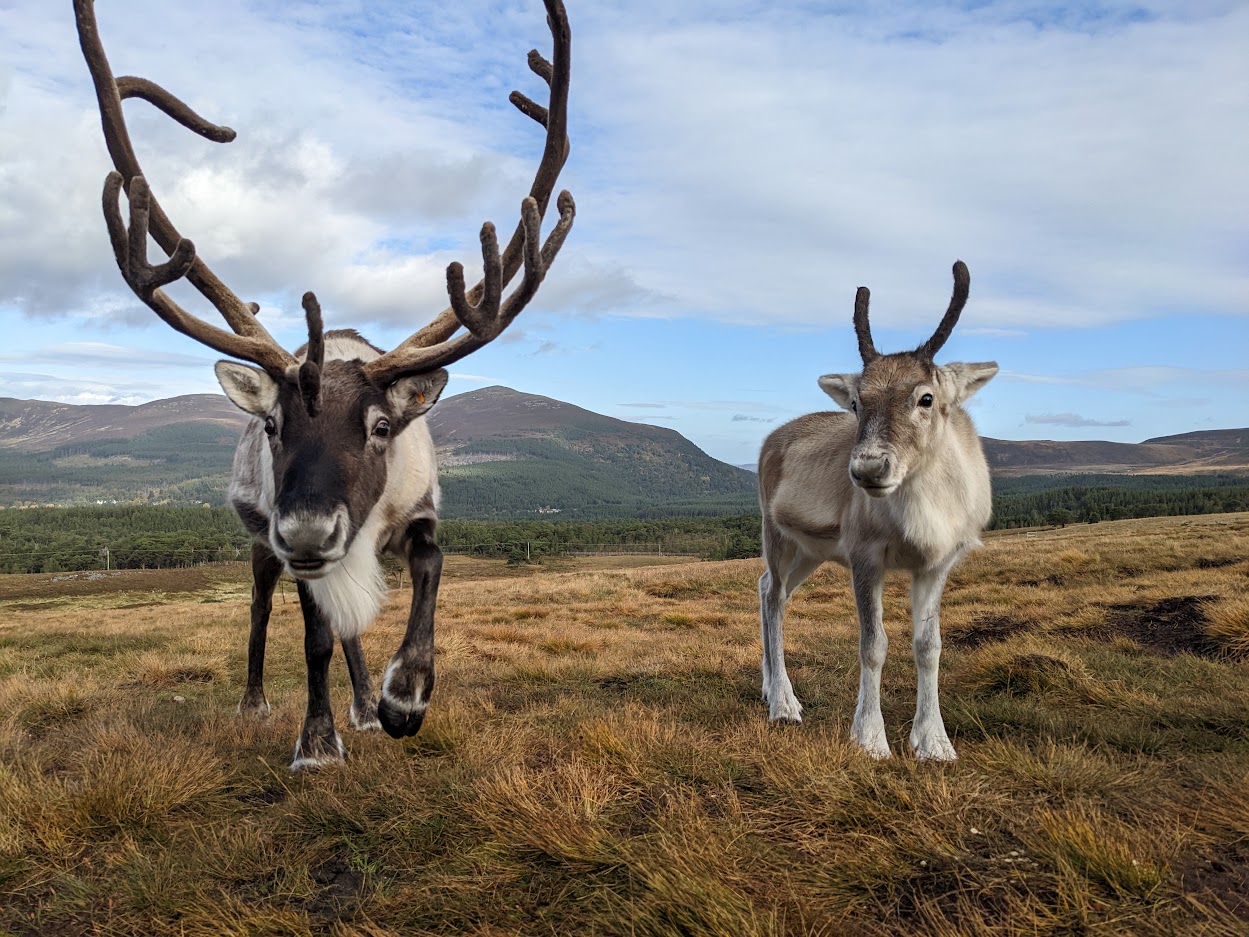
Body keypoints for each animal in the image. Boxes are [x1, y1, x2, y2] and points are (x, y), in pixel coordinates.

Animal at [74, 0, 574, 769]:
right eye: (274, 425)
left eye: (380, 427)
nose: (307, 529)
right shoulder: (289, 541)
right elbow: (311, 636)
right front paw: (315, 739)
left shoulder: (414, 511)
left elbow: (430, 568)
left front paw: (402, 698)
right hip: (261, 537)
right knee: (265, 607)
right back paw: (259, 702)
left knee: (349, 622)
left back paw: (366, 704)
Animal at [757, 261, 997, 761]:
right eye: (856, 401)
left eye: (926, 397)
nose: (868, 468)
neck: (923, 519)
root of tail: (772, 439)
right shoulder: (865, 555)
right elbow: (873, 644)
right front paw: (869, 737)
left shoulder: (938, 563)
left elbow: (929, 646)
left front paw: (934, 743)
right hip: (777, 533)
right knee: (773, 597)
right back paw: (784, 703)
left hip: (811, 551)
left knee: (769, 586)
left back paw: (771, 689)